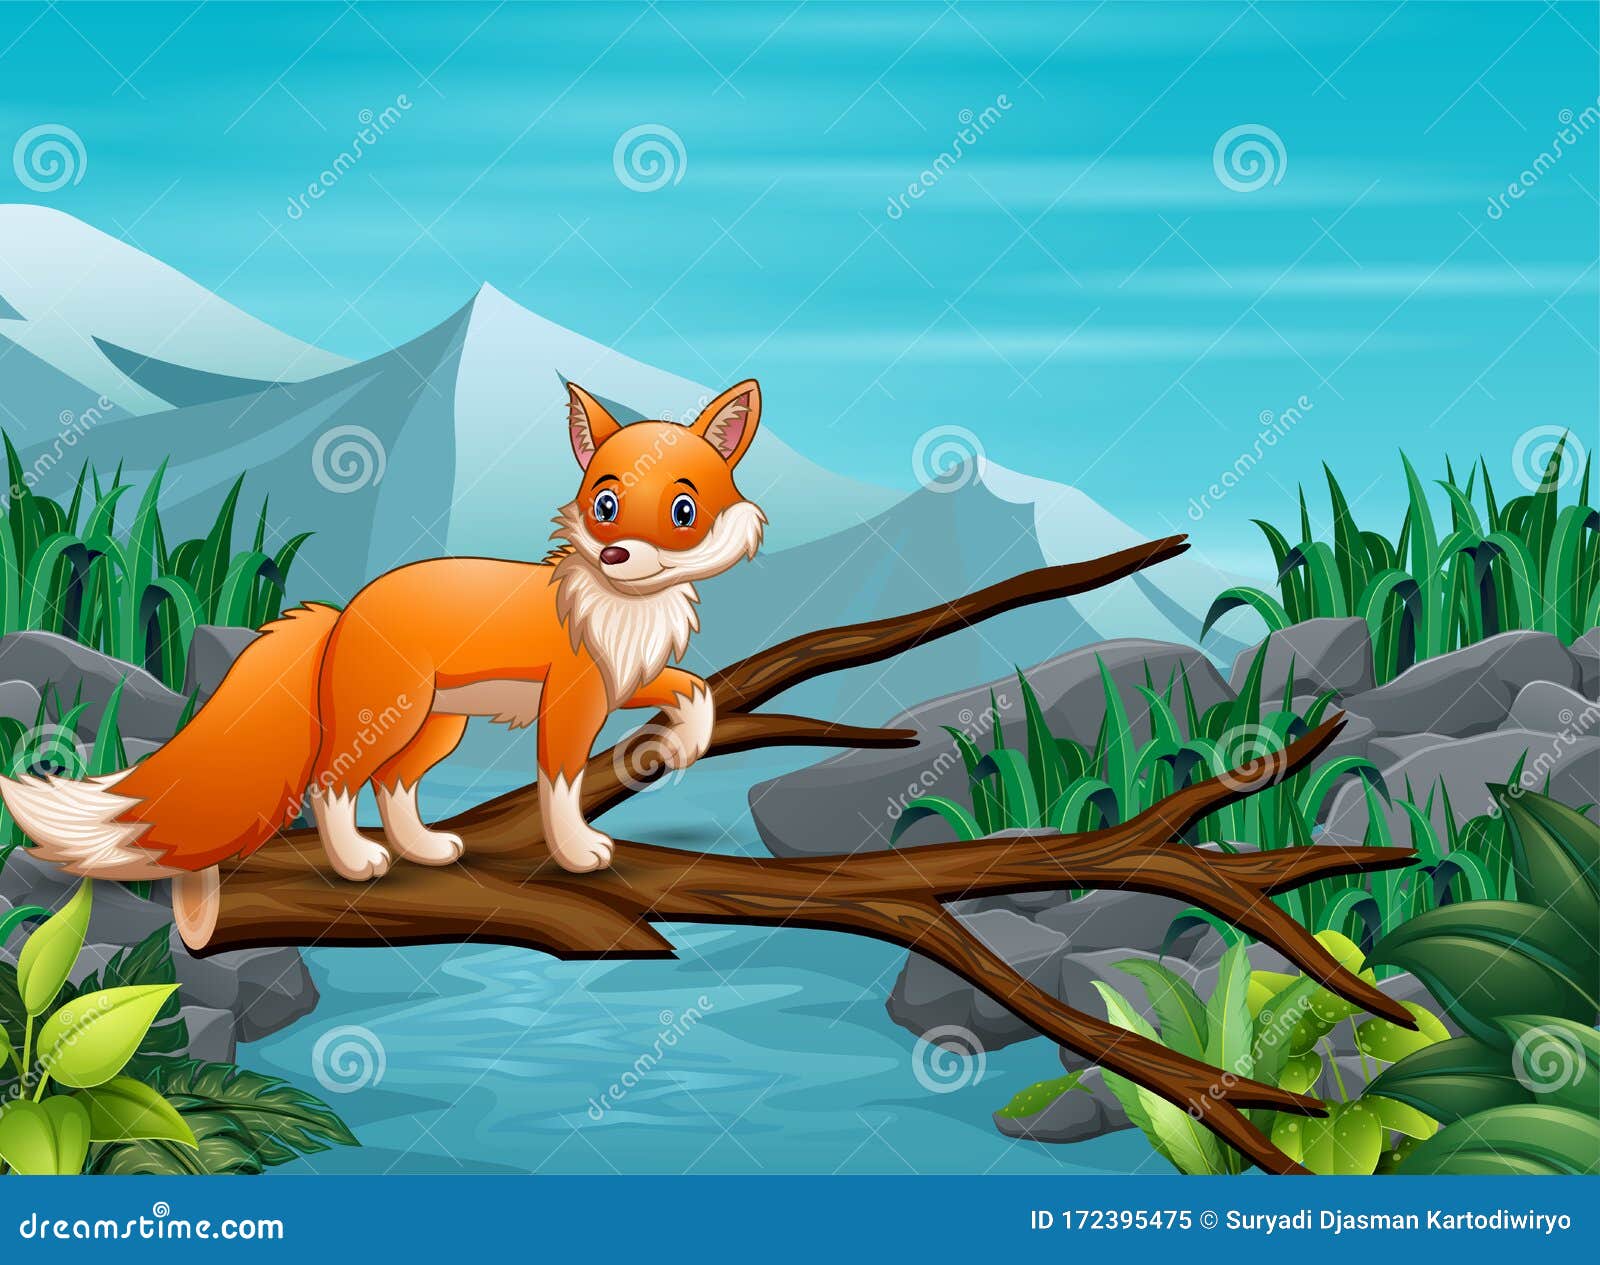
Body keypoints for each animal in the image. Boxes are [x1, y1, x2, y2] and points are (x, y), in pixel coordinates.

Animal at [0, 379, 766, 895]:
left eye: (683, 510)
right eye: (605, 503)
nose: (615, 555)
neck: (618, 605)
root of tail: (344, 612)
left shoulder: (622, 680)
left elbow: (694, 694)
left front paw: (678, 744)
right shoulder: (572, 702)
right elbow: (561, 783)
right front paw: (577, 851)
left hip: (436, 725)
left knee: (393, 782)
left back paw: (421, 850)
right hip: (388, 716)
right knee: (333, 782)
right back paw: (355, 862)